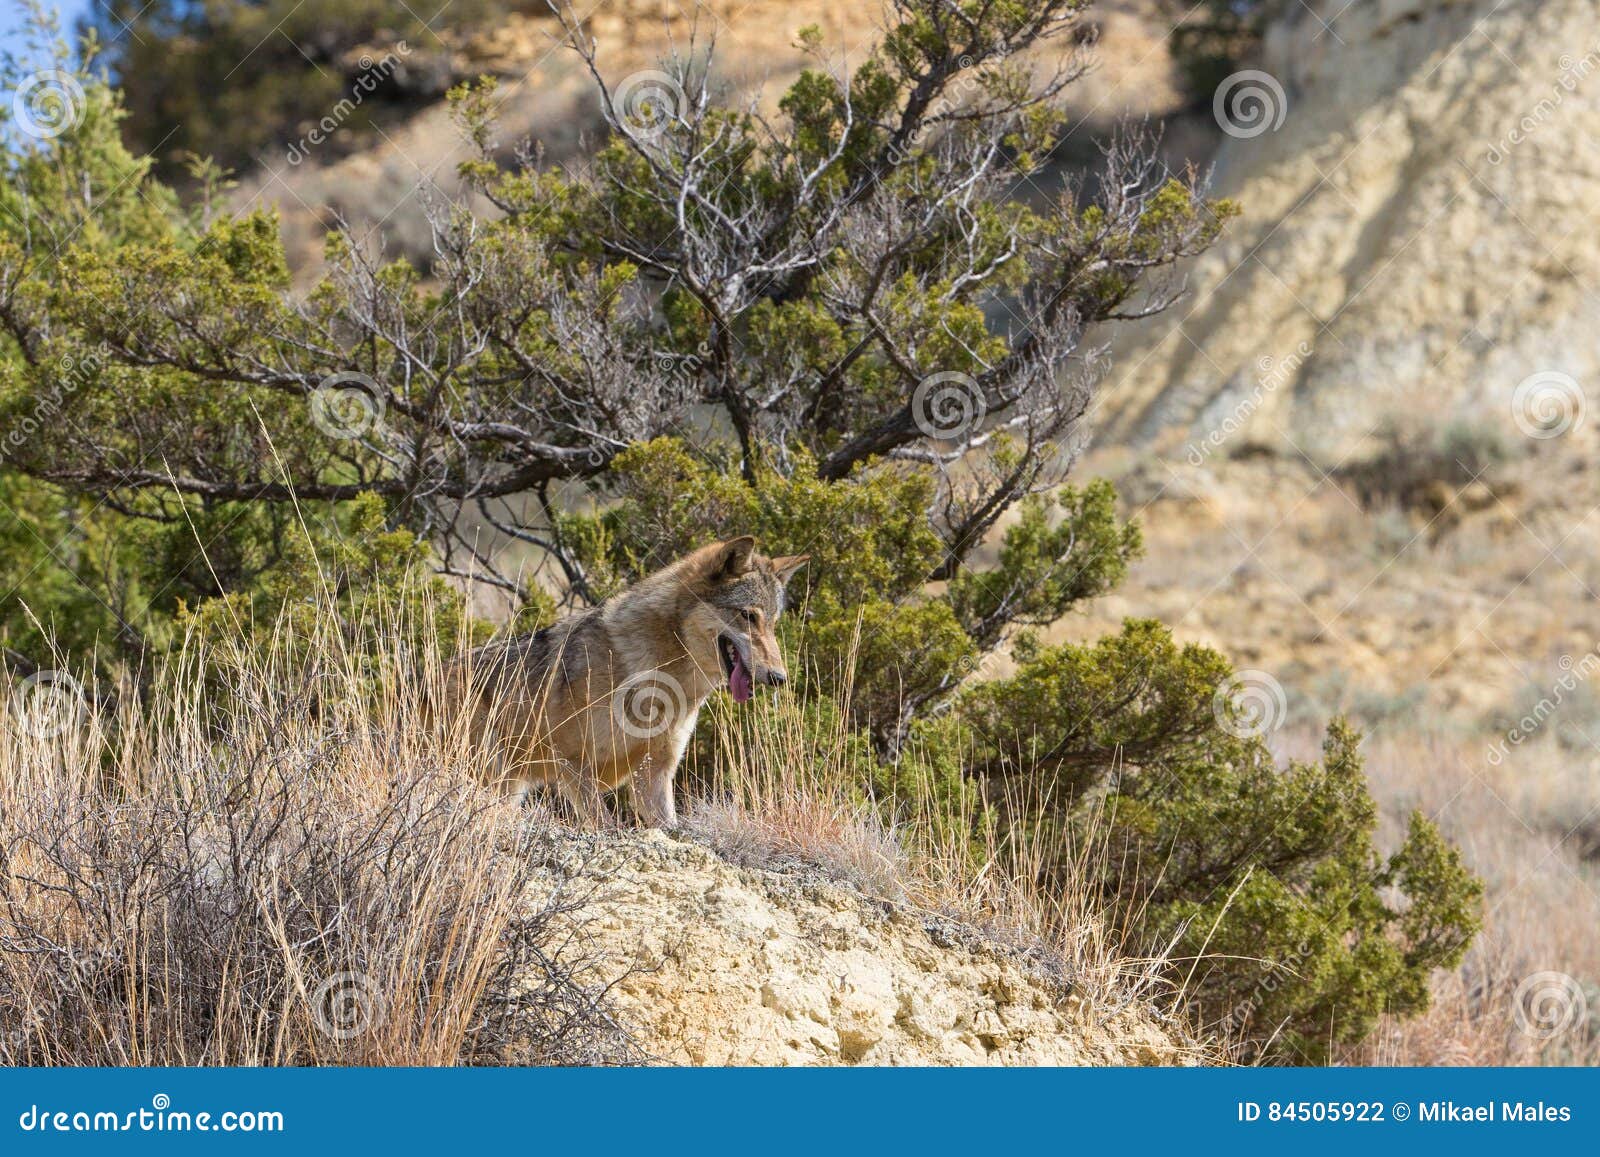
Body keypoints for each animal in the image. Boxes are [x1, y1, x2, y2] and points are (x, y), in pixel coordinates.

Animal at [444, 537, 808, 828]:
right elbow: (606, 827)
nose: (779, 677)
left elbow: (669, 830)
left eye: (772, 623)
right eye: (747, 616)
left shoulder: (655, 775)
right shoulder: (575, 766)